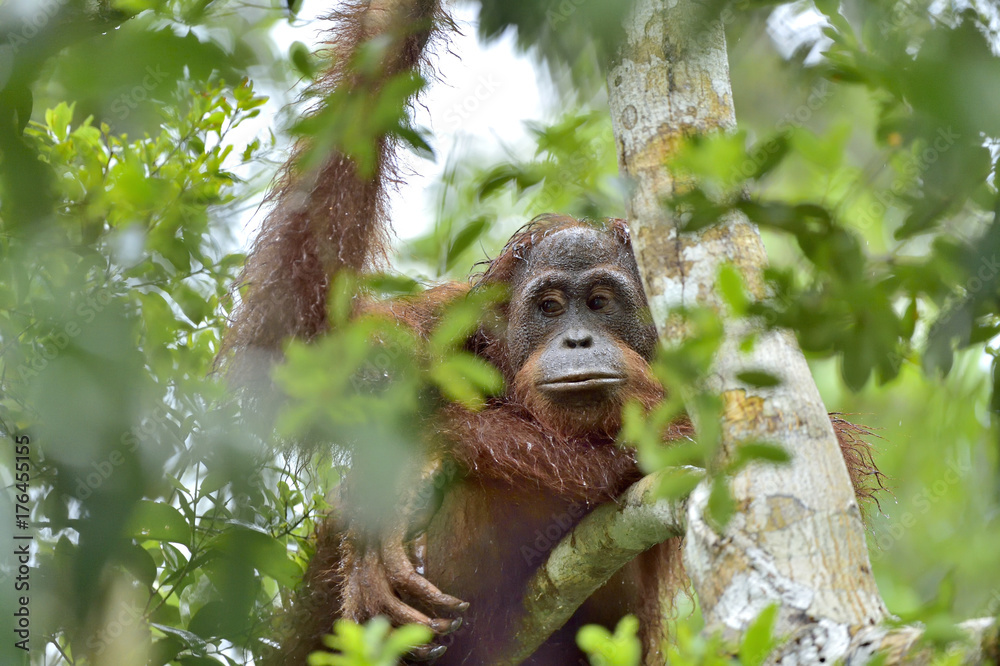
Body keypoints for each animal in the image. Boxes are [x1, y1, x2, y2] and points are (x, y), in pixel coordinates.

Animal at [217, 1, 883, 664]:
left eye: (599, 302)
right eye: (552, 305)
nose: (577, 340)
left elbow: (796, 461)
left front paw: (432, 449)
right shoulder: (442, 330)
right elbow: (296, 350)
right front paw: (402, 16)